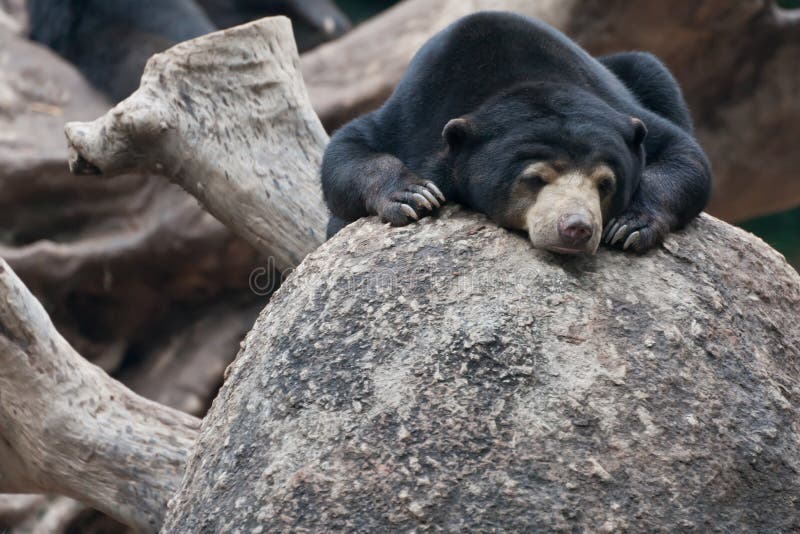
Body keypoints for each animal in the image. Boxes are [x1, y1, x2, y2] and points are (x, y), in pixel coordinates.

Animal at [321, 11, 712, 254]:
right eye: (535, 179)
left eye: (605, 184)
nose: (577, 228)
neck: (519, 81)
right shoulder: (415, 111)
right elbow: (348, 148)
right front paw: (415, 196)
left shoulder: (615, 103)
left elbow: (683, 153)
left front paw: (630, 226)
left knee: (651, 69)